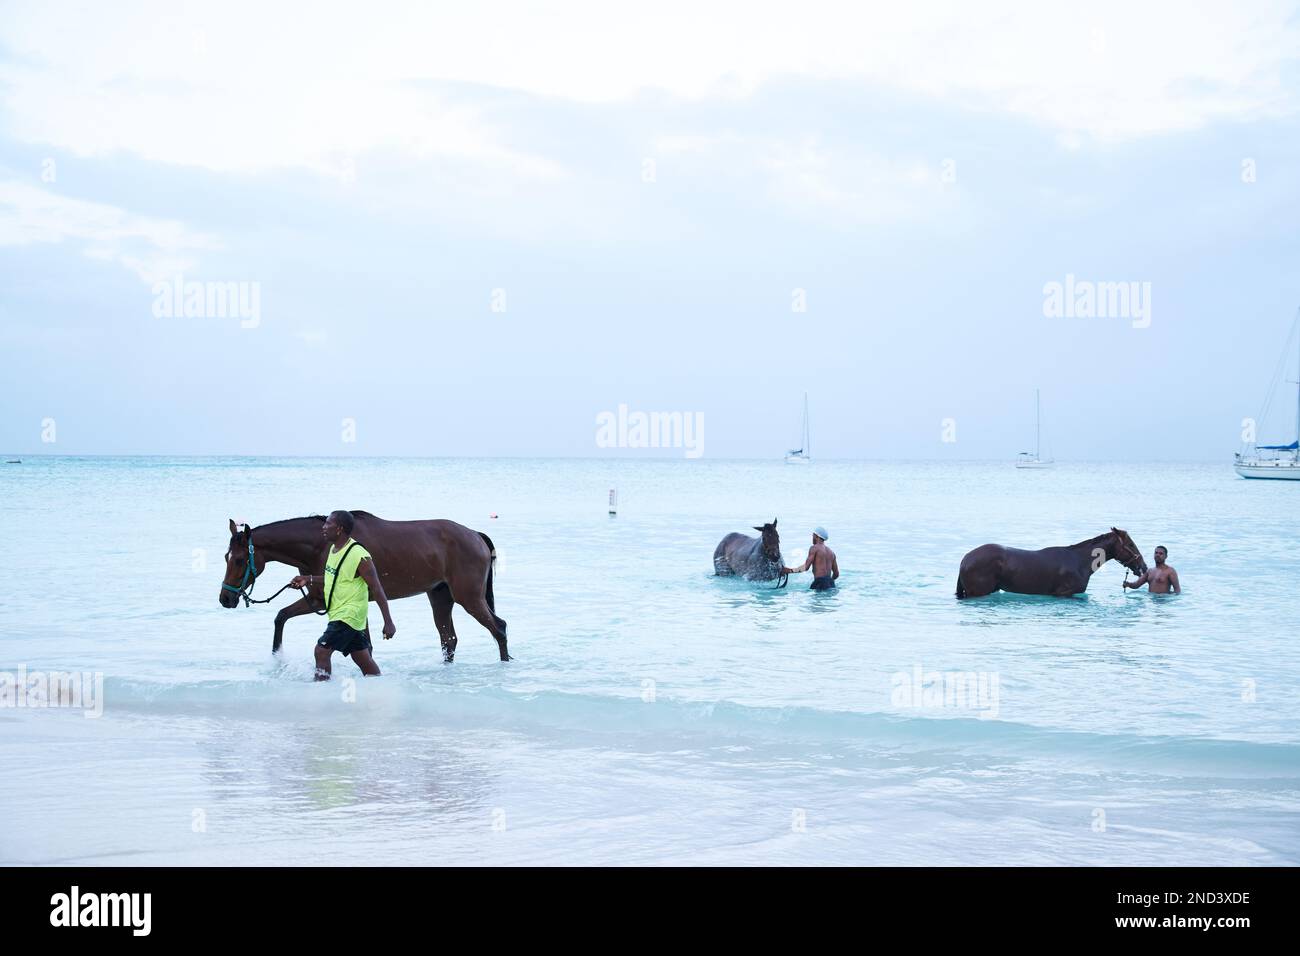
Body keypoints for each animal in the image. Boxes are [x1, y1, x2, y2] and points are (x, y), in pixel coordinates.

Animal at [218, 511, 510, 661]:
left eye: (241, 560)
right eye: (226, 557)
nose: (225, 599)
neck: (320, 545)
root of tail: (475, 535)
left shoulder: (332, 601)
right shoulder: (318, 599)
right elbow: (281, 617)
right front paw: (277, 657)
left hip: (469, 598)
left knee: (499, 629)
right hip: (440, 597)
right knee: (449, 640)